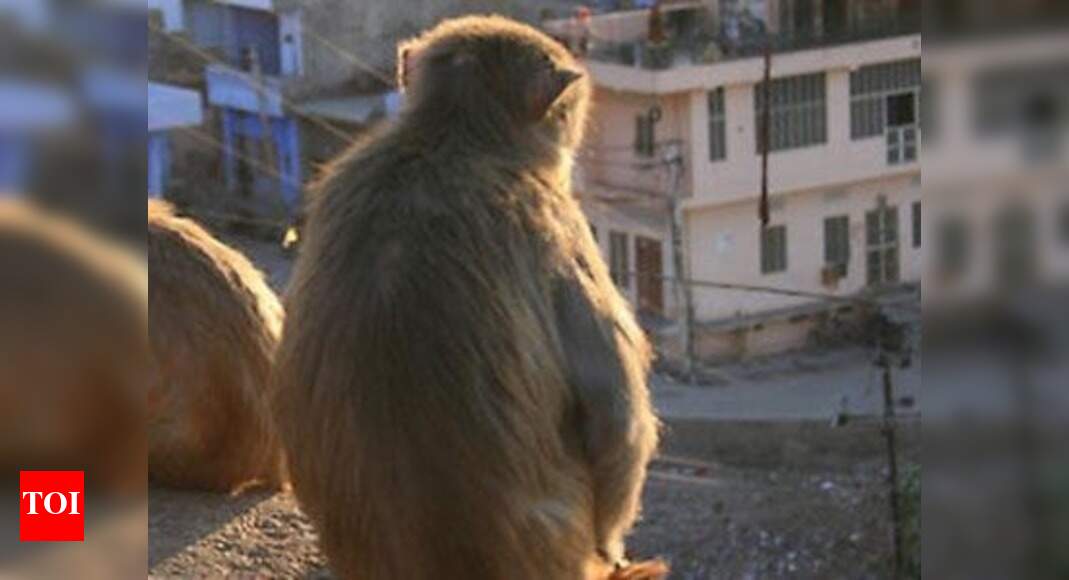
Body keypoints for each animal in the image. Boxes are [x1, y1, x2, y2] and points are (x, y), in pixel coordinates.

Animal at [271, 16, 663, 580]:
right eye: (568, 110)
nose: (572, 126)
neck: (448, 139)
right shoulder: (558, 225)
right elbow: (615, 414)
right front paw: (614, 543)